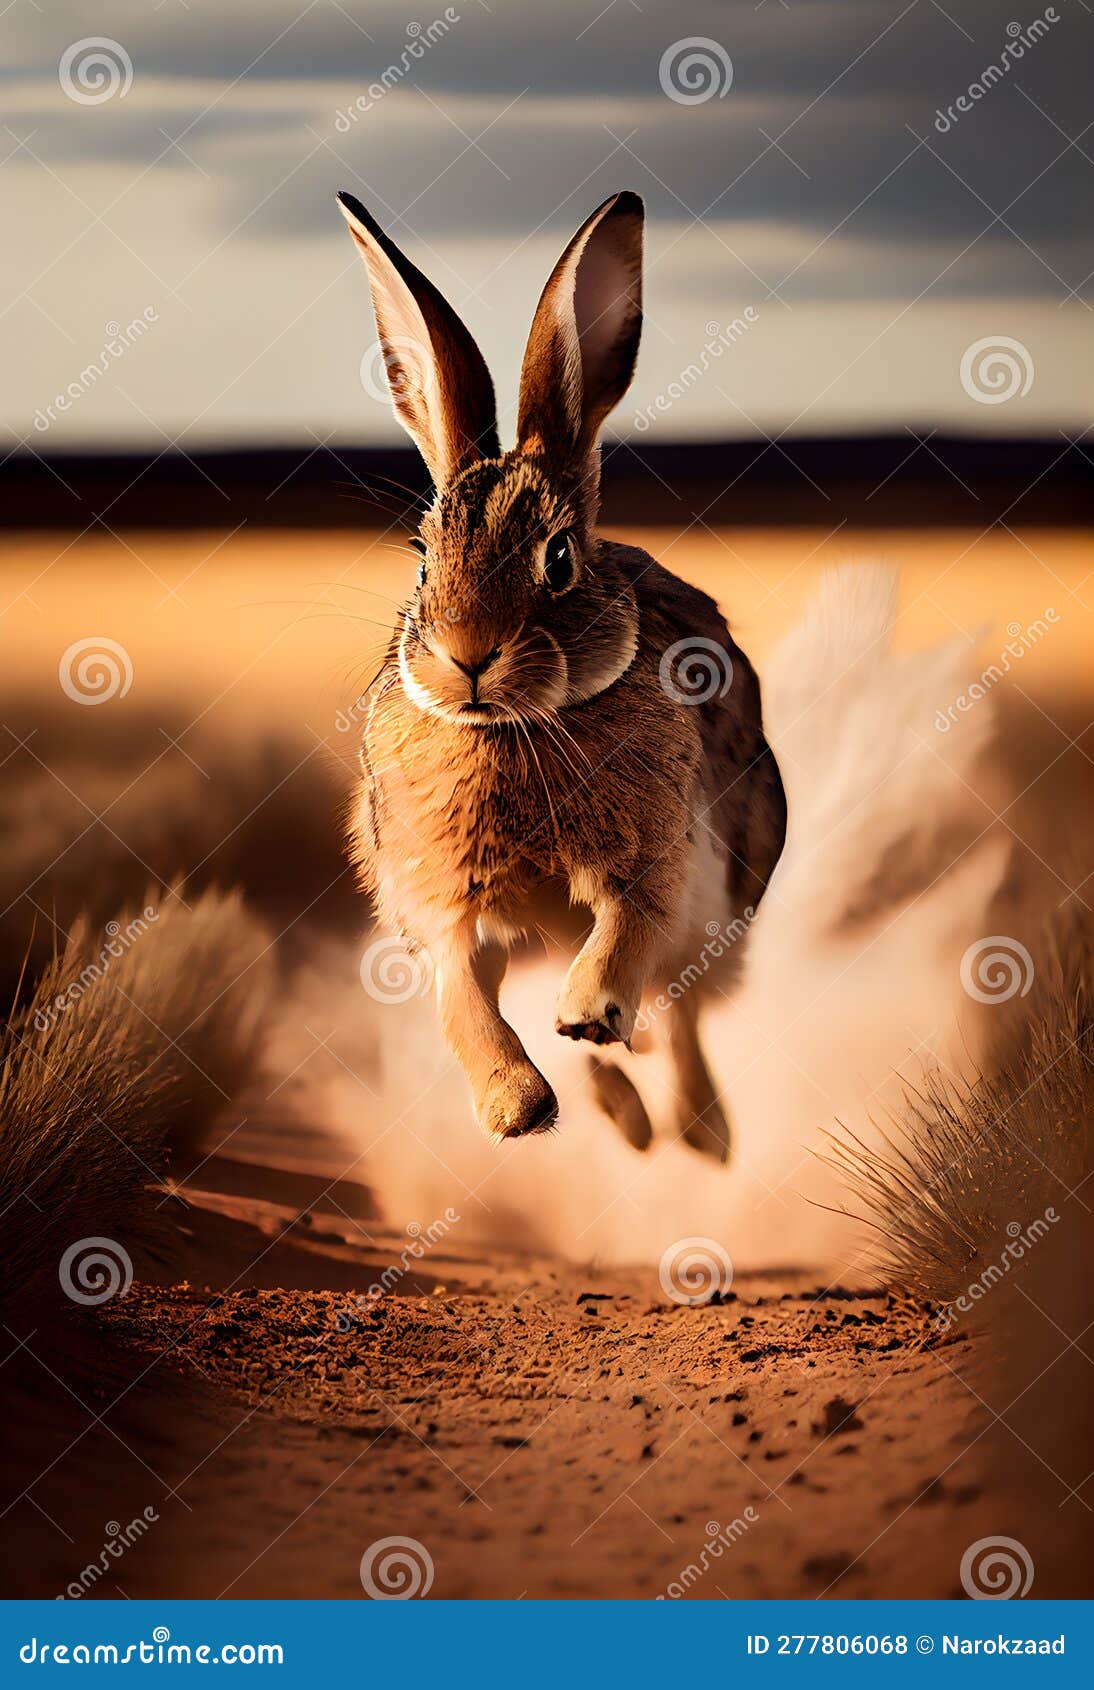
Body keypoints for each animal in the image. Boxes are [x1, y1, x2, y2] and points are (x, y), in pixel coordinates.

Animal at [336, 187, 786, 1160]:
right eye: (423, 562)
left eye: (559, 558)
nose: (467, 653)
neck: (515, 727)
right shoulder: (443, 906)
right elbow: (466, 1000)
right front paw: (516, 1107)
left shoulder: (658, 861)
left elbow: (624, 932)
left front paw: (588, 1013)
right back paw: (623, 1121)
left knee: (680, 1016)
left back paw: (696, 1134)